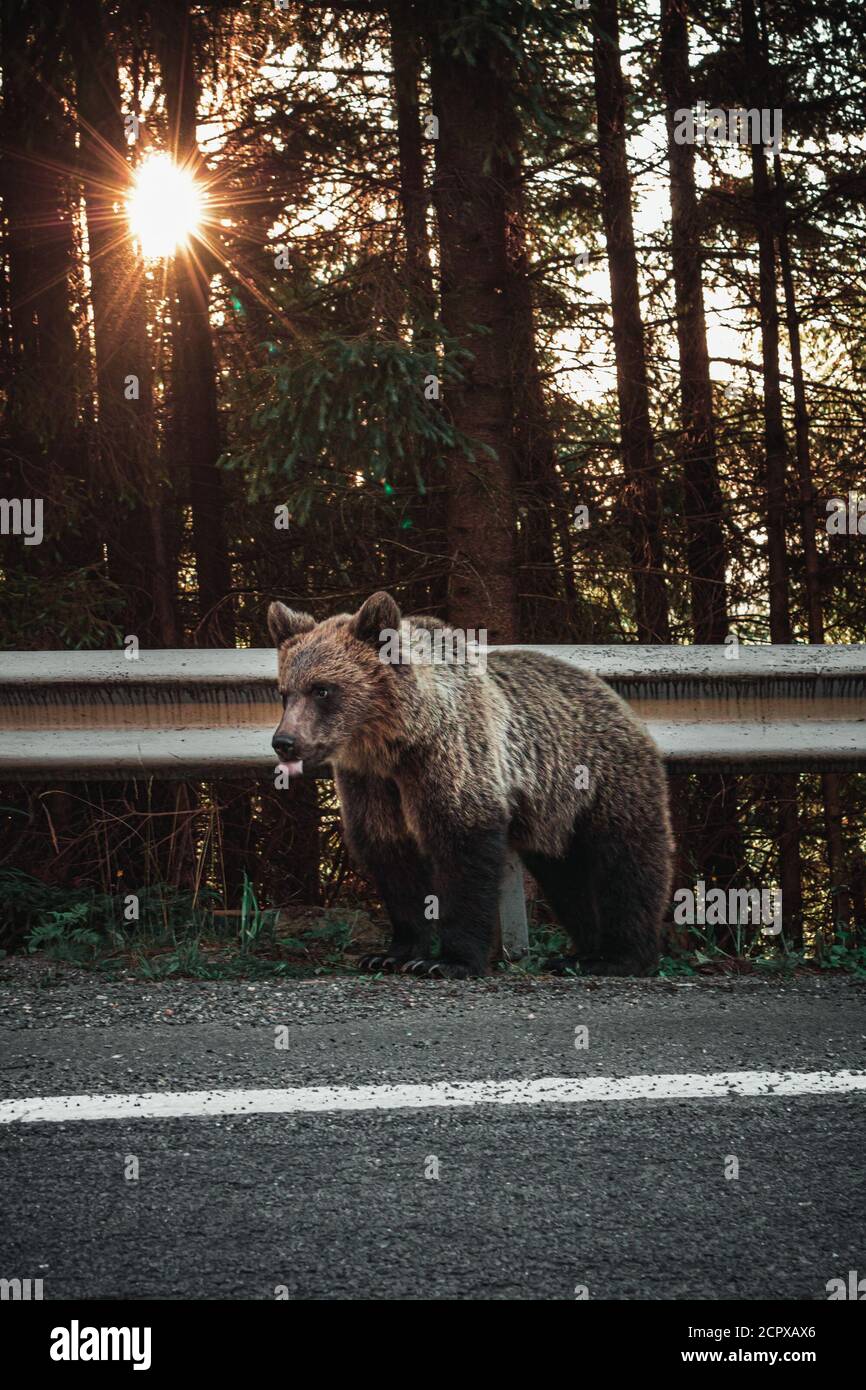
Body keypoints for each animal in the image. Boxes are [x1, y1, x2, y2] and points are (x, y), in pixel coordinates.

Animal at [268, 590, 673, 978]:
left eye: (322, 689)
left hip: (606, 780)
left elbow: (462, 846)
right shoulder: (371, 783)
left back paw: (620, 957)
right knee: (565, 877)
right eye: (285, 692)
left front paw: (448, 961)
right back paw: (580, 954)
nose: (284, 741)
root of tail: (616, 697)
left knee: (625, 864)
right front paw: (390, 954)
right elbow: (390, 855)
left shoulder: (450, 755)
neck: (396, 743)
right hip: (554, 812)